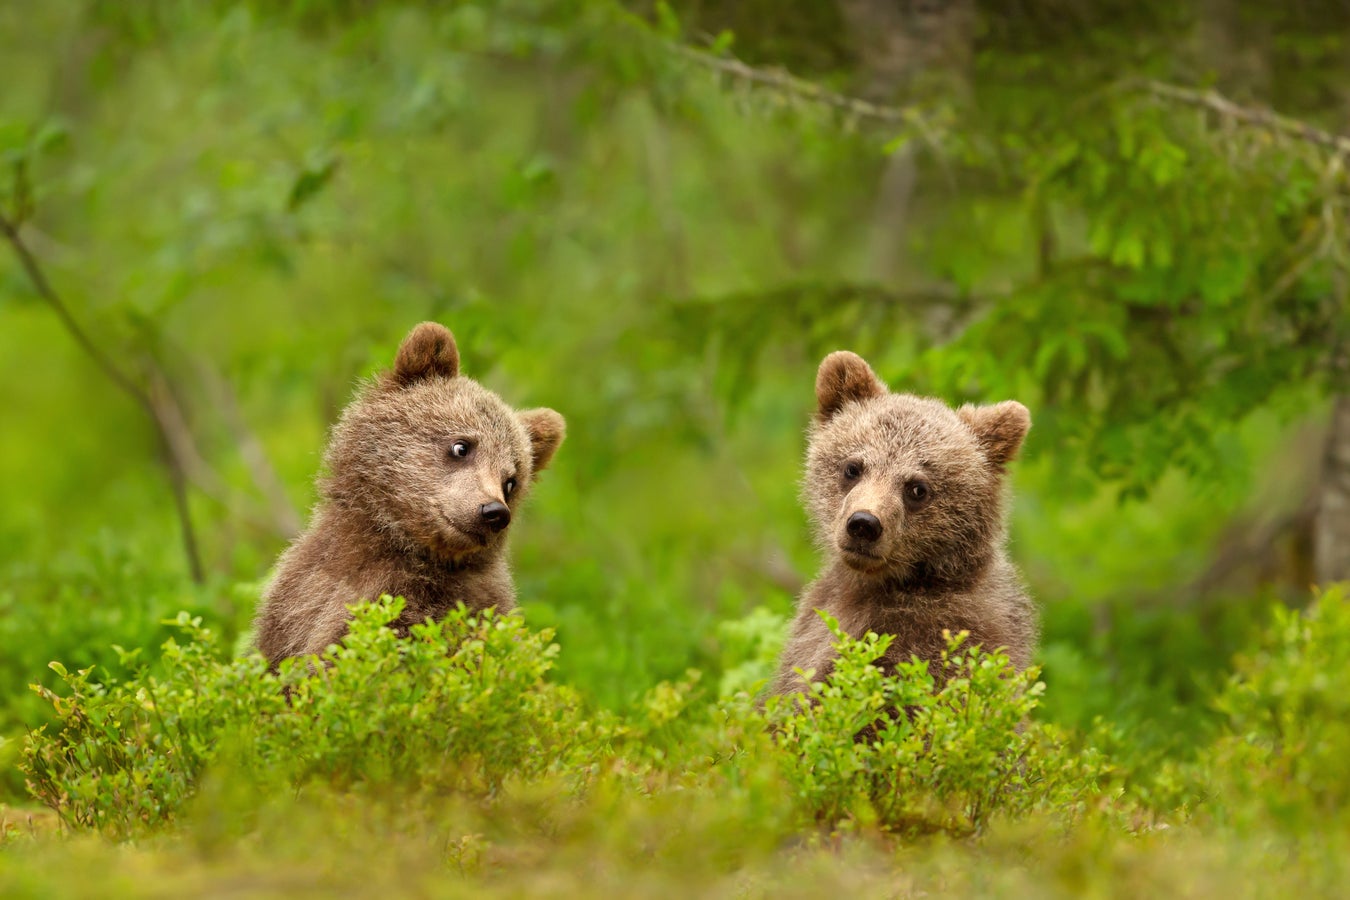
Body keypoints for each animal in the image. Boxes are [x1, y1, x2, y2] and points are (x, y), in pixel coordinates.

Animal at [253, 322, 565, 665]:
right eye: (462, 446)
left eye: (511, 481)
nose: (493, 512)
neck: (411, 552)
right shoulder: (311, 604)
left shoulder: (479, 605)